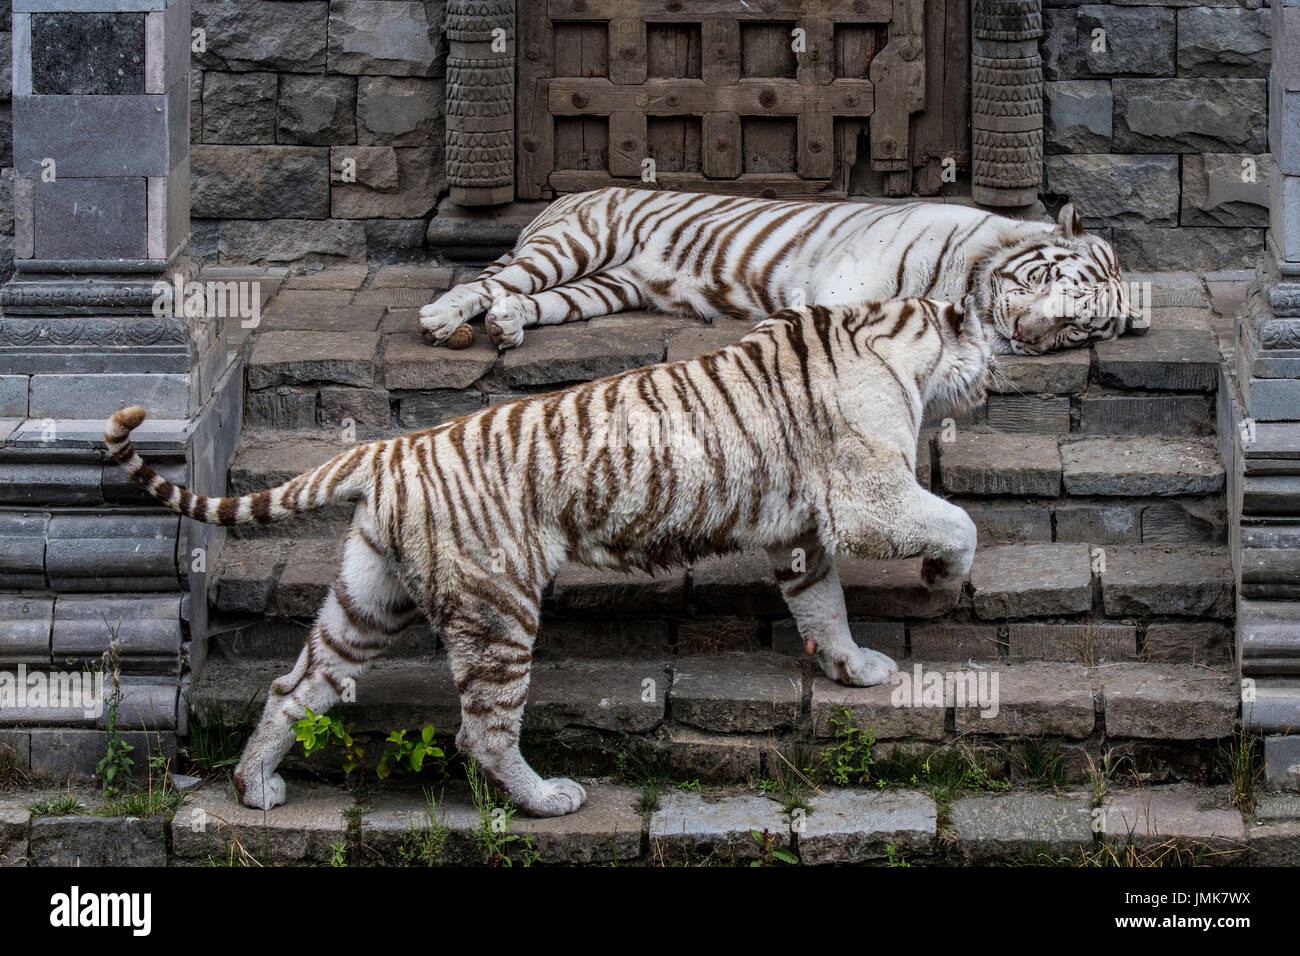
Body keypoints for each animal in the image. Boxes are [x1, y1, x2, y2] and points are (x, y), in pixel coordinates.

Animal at [105, 296, 992, 817]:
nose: (991, 380)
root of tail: (389, 449)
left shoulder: (799, 531)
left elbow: (823, 604)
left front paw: (852, 668)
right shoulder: (865, 499)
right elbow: (957, 522)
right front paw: (941, 575)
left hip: (368, 600)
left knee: (295, 687)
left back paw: (255, 785)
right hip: (497, 606)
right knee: (482, 732)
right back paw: (548, 799)